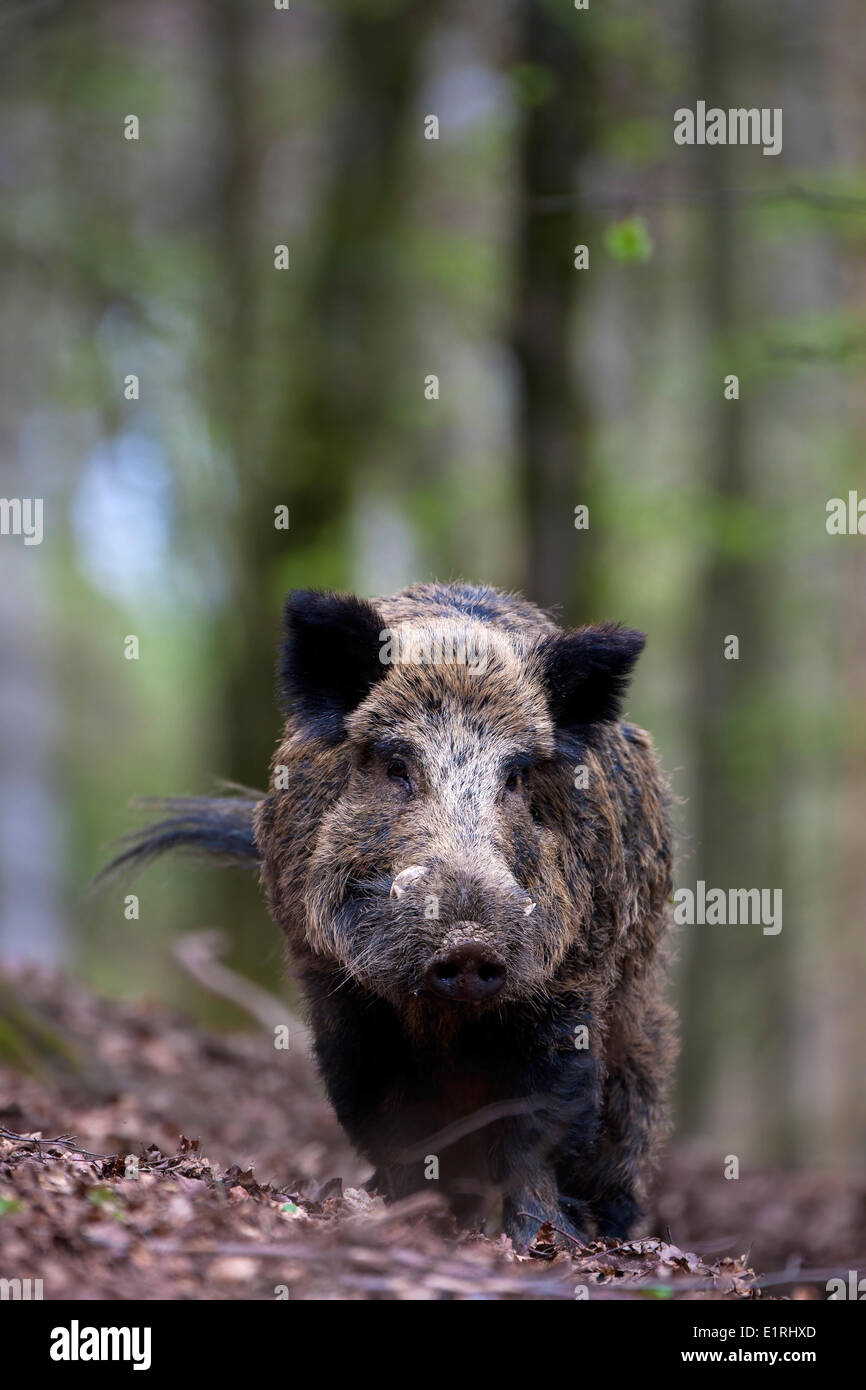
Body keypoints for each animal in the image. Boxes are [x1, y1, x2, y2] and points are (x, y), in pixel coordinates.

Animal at [107, 582, 676, 1248]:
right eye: (397, 766)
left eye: (515, 776)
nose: (468, 945)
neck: (446, 1018)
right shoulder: (340, 994)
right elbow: (391, 1122)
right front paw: (407, 1218)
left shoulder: (572, 984)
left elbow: (540, 1126)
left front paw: (545, 1243)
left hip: (637, 1017)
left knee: (628, 1113)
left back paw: (613, 1230)